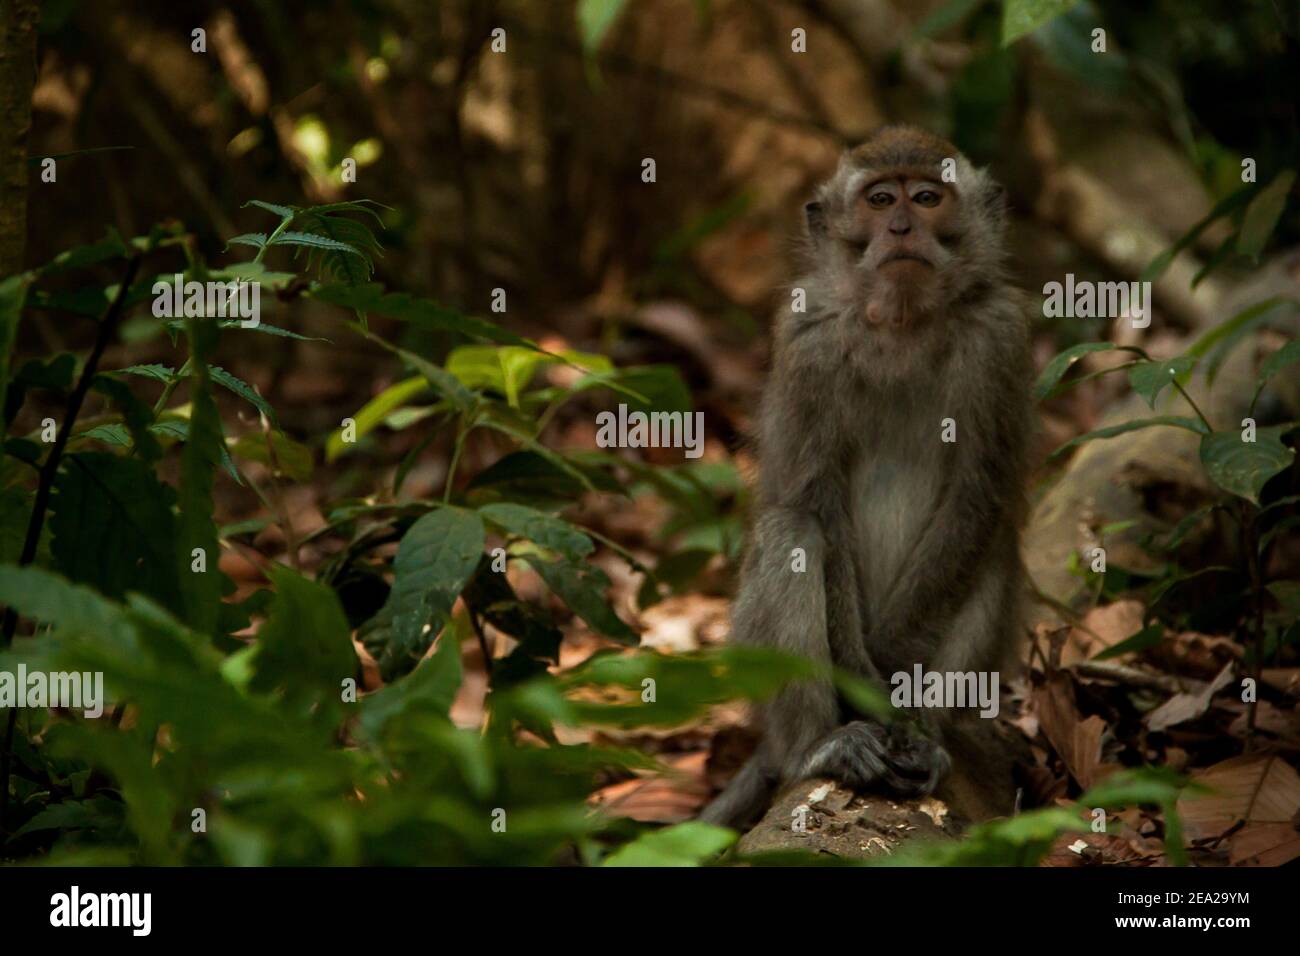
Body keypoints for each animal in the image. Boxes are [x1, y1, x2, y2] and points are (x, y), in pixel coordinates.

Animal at [699, 126, 1033, 828]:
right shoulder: (808, 340)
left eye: (928, 197)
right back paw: (816, 748)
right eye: (880, 200)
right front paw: (865, 679)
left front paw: (900, 680)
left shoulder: (1001, 337)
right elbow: (816, 503)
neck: (902, 320)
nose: (902, 226)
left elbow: (977, 495)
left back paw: (928, 737)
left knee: (990, 547)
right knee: (791, 532)